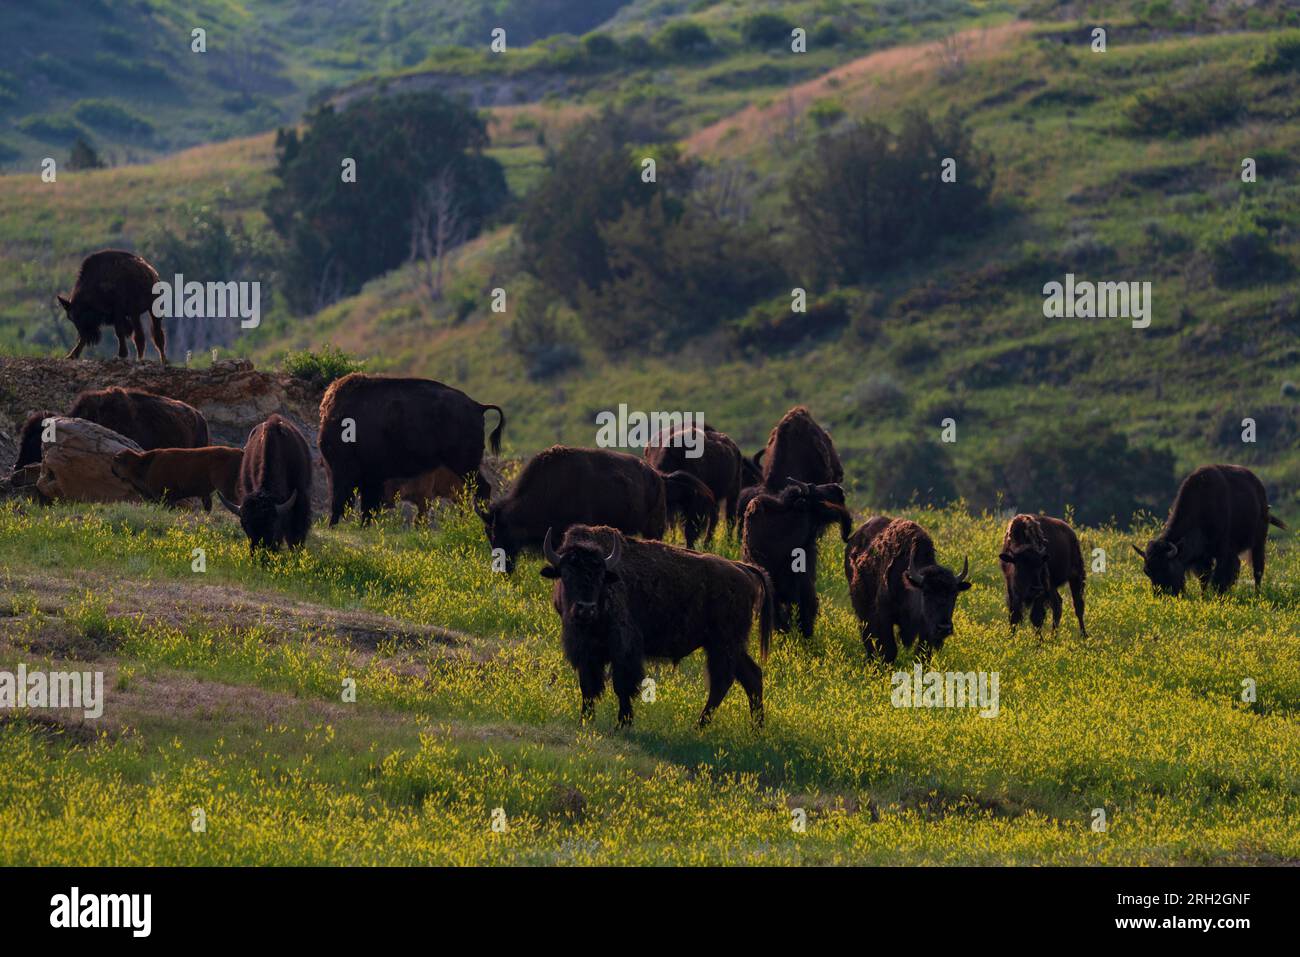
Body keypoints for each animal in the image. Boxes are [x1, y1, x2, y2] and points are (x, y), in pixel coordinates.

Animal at [112, 446, 243, 511]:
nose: (112, 470)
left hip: (226, 489)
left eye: (117, 462)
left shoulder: (164, 497)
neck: (143, 464)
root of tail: (240, 452)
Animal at [318, 373, 504, 526]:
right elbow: (367, 507)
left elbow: (344, 501)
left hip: (464, 465)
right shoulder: (371, 478)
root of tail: (478, 406)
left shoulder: (345, 470)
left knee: (482, 488)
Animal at [542, 524, 773, 727]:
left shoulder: (624, 649)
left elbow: (621, 685)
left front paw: (623, 724)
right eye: (566, 574)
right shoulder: (584, 650)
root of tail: (743, 569)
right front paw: (585, 721)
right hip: (730, 646)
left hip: (723, 645)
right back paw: (756, 728)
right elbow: (588, 687)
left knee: (722, 682)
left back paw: (699, 726)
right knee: (751, 677)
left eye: (600, 577)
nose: (586, 608)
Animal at [845, 517, 971, 663]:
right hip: (862, 611)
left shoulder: (926, 628)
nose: (944, 628)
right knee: (867, 637)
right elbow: (889, 650)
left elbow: (923, 654)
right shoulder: (884, 617)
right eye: (926, 592)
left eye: (954, 594)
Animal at [1133, 464, 1285, 595]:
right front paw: (1204, 597)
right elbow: (1204, 579)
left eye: (1167, 568)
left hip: (1259, 541)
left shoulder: (1223, 553)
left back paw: (1256, 594)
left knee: (1257, 569)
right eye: (1146, 571)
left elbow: (1219, 578)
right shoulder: (1203, 558)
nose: (1162, 595)